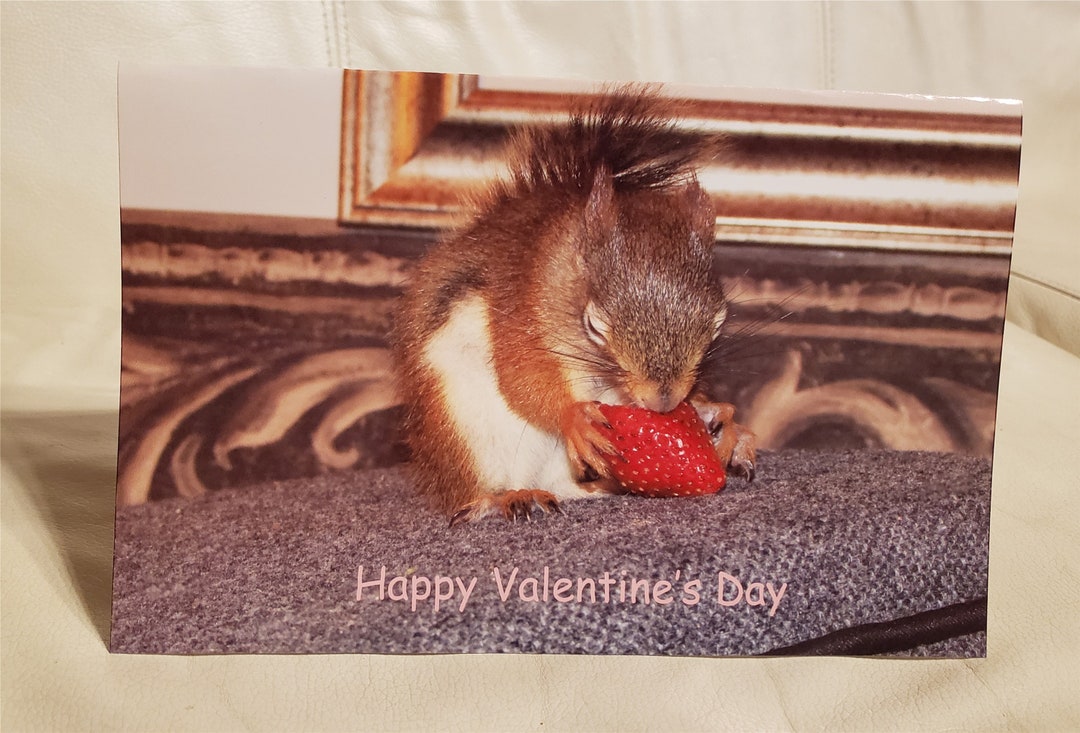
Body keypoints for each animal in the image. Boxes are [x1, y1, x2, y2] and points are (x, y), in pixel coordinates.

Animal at [393, 87, 756, 525]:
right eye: (594, 325)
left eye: (718, 323)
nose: (663, 402)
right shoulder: (518, 312)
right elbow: (523, 382)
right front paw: (575, 419)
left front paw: (720, 418)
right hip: (465, 433)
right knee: (475, 491)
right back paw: (506, 496)